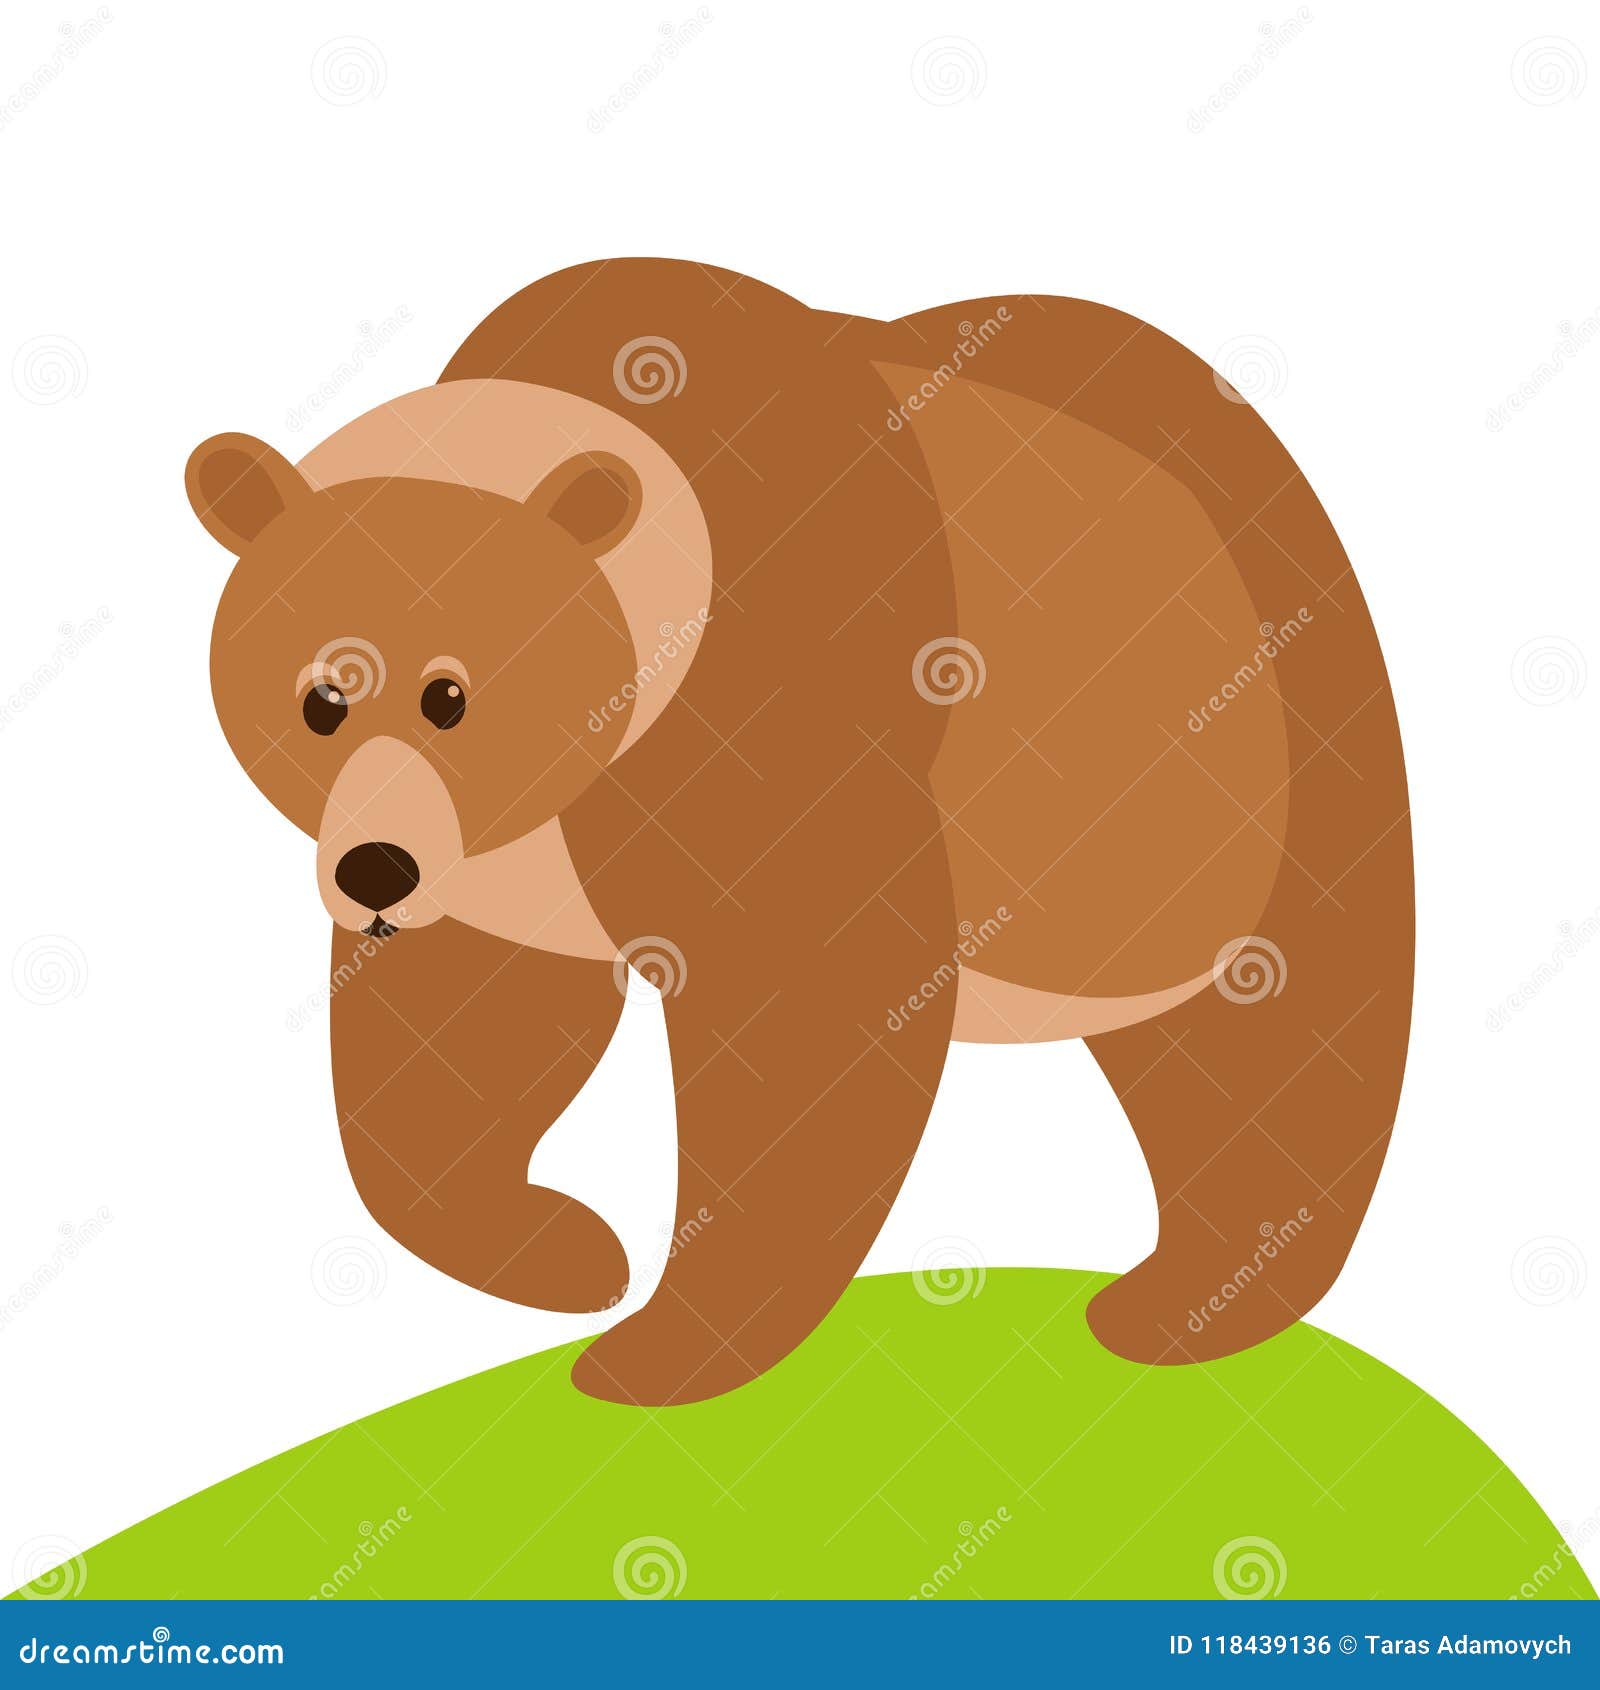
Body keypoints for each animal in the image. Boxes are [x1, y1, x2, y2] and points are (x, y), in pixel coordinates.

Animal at [186, 259, 1412, 1407]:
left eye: (451, 694)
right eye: (320, 699)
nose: (373, 871)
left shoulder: (788, 709)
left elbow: (803, 1020)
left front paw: (661, 1349)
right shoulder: (516, 859)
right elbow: (467, 1026)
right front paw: (567, 1248)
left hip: (1247, 757)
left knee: (1276, 1012)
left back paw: (1184, 1307)